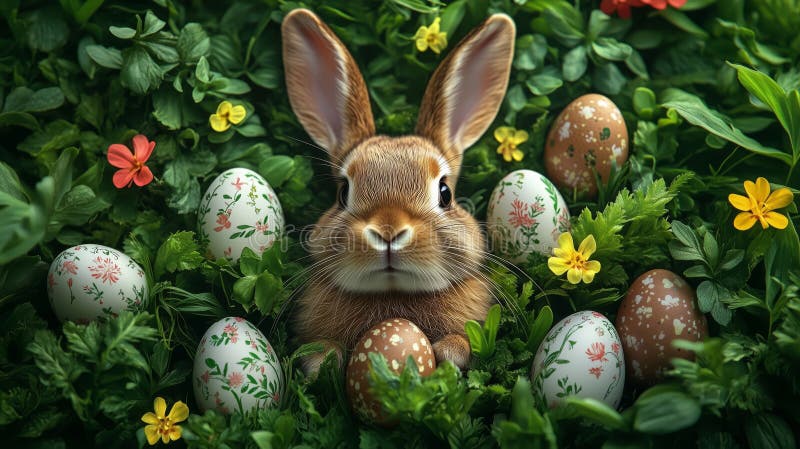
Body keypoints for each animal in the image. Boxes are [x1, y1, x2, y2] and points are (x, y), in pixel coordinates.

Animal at [281, 8, 515, 374]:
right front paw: (324, 358)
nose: (388, 233)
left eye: (445, 193)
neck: (394, 296)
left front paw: (447, 351)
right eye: (343, 192)